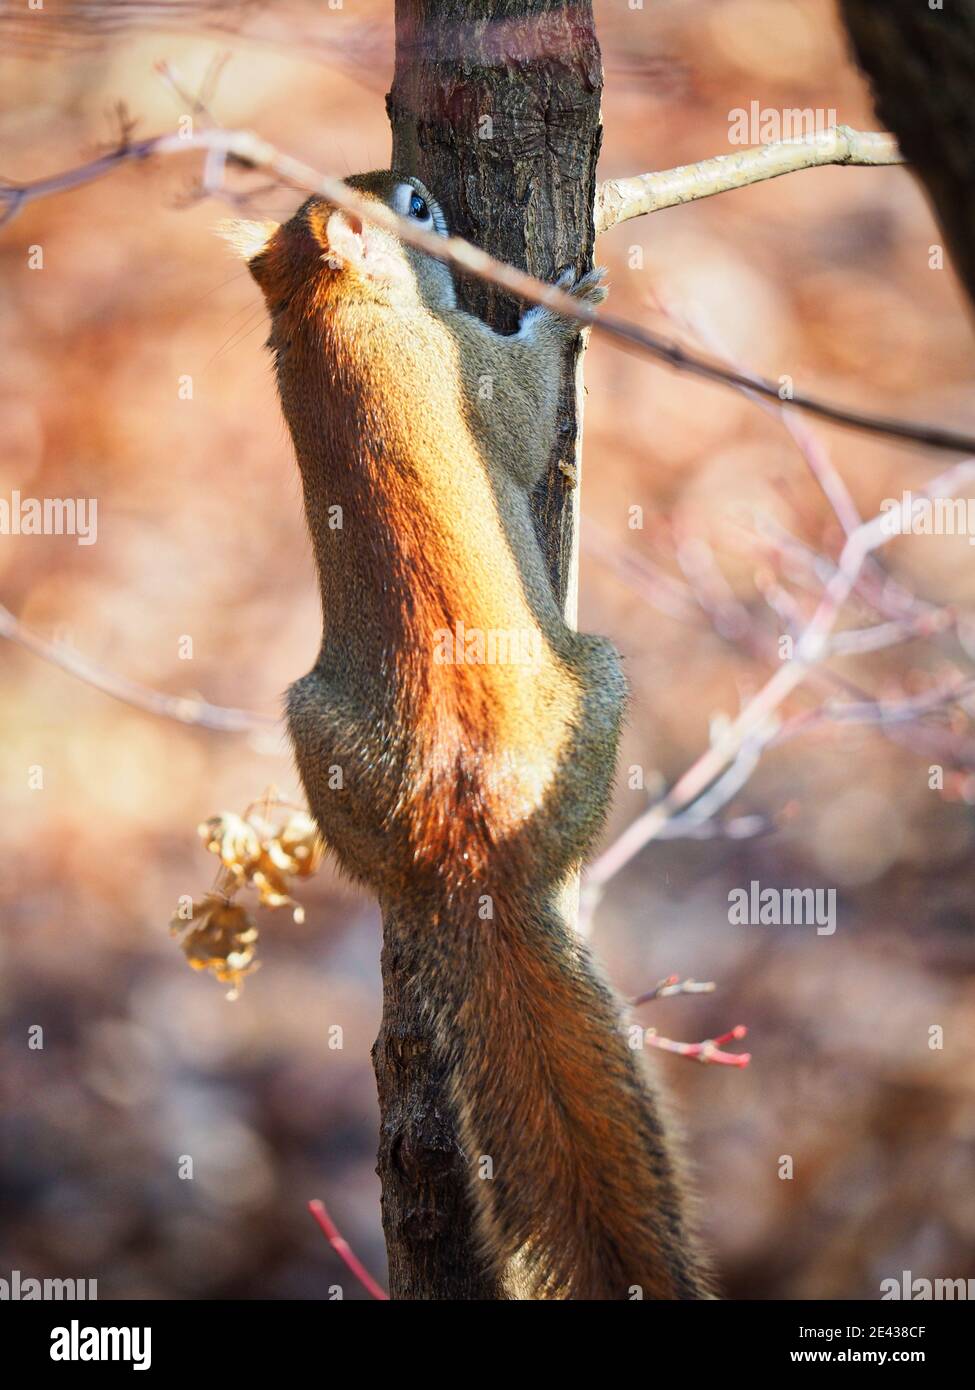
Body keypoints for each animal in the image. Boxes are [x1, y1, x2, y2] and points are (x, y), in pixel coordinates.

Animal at [223, 171, 710, 1300]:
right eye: (408, 212)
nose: (422, 187)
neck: (328, 315)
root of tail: (468, 847)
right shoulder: (468, 366)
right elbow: (526, 415)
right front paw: (564, 304)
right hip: (601, 687)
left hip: (319, 736)